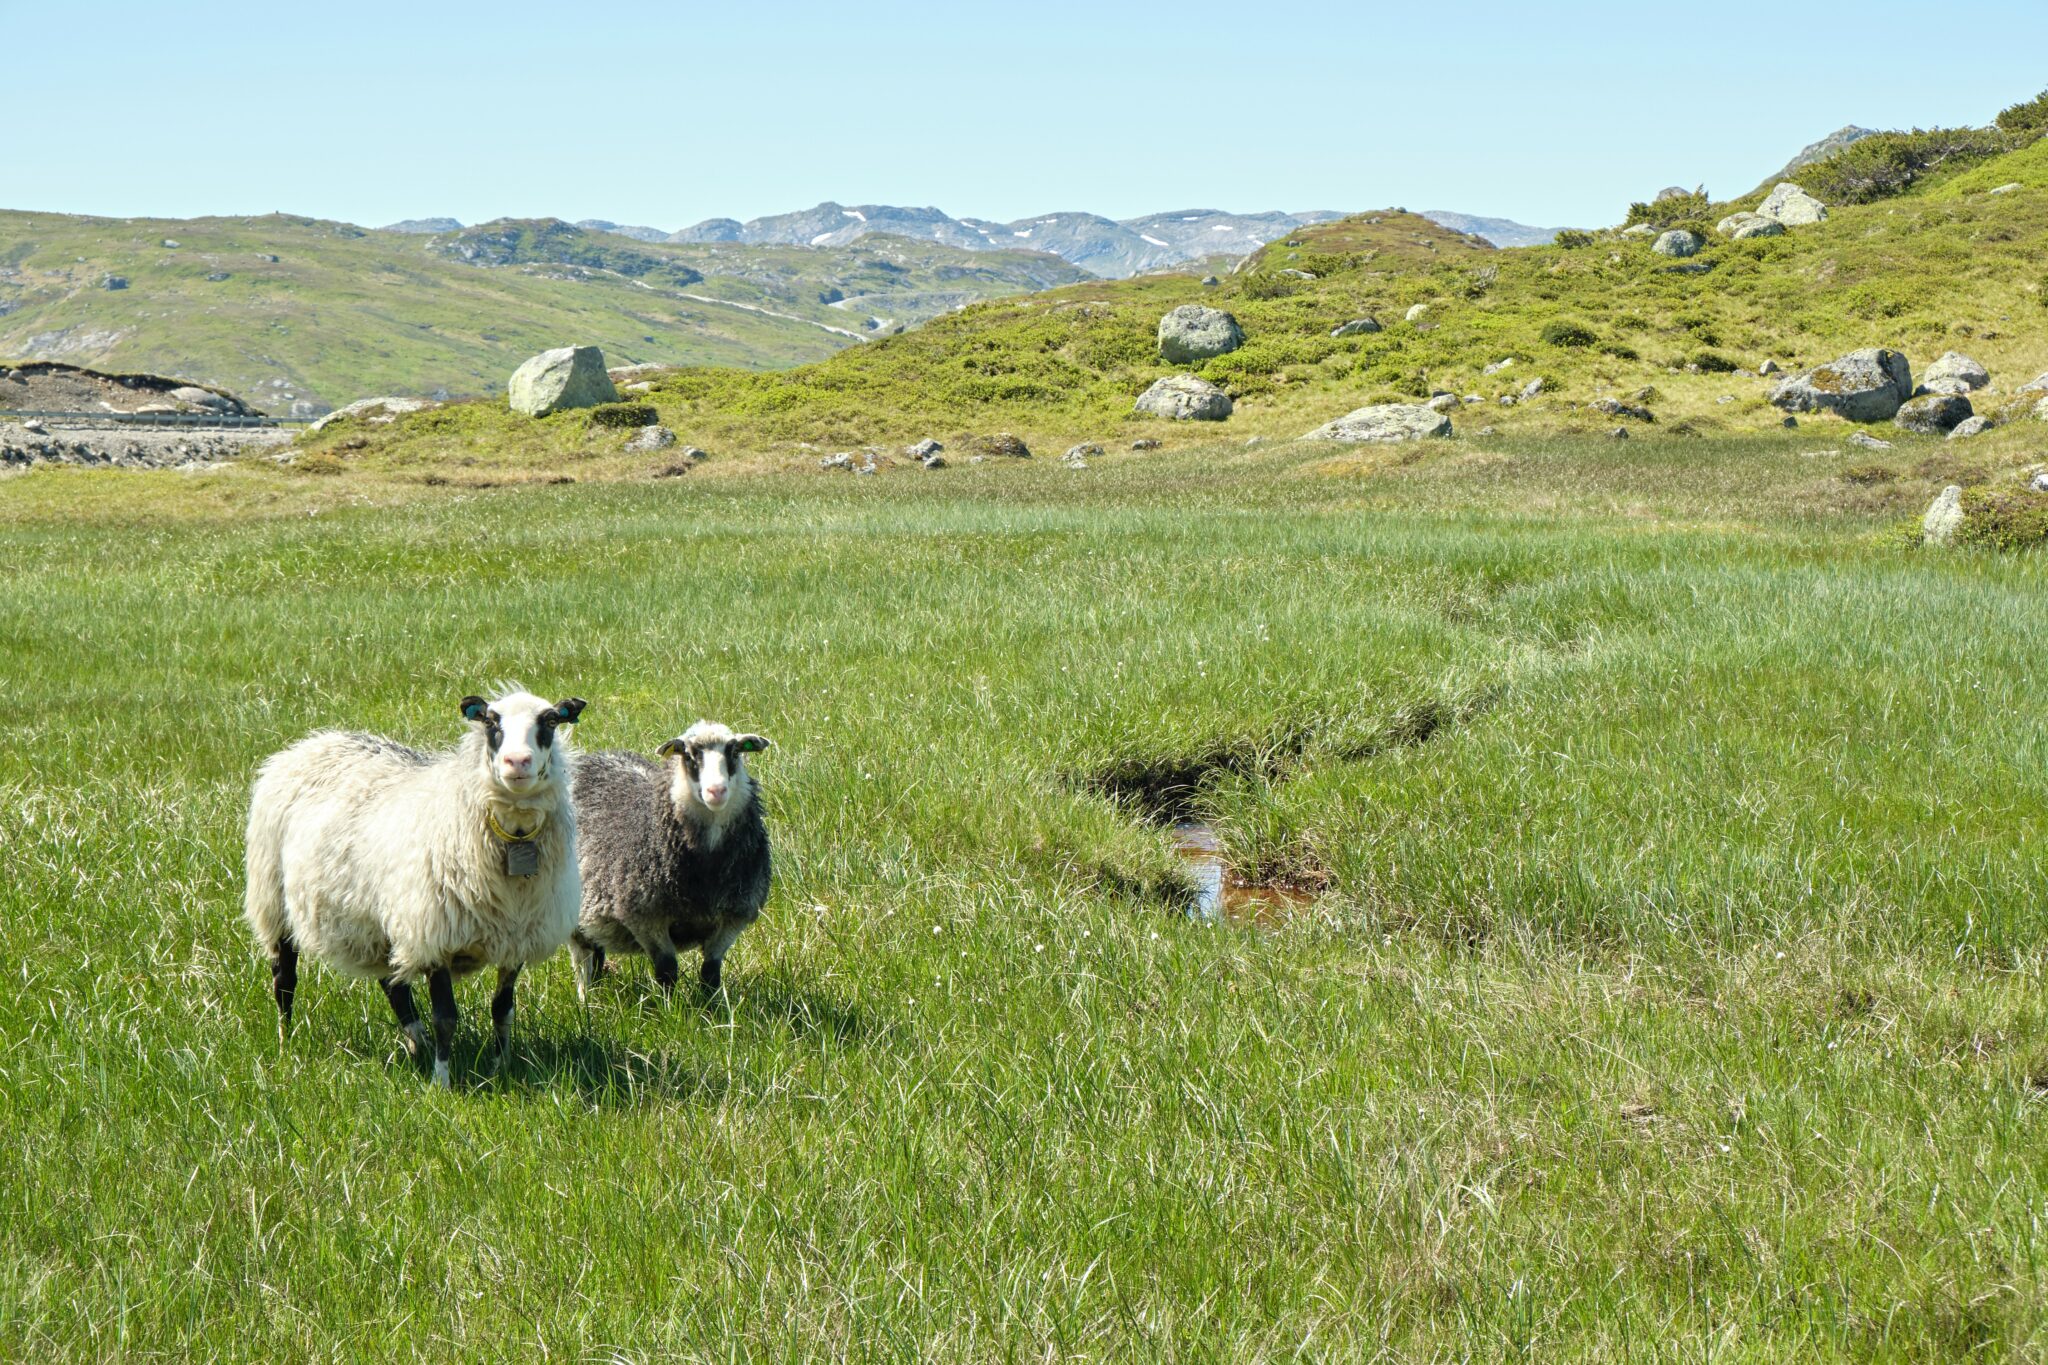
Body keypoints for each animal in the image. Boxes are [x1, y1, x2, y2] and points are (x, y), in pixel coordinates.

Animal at [242, 688, 587, 1086]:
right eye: (490, 722)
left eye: (551, 720)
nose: (517, 762)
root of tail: (312, 742)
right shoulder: (434, 934)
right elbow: (446, 1019)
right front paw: (442, 1081)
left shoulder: (516, 940)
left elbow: (502, 1010)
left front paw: (501, 1066)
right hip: (273, 897)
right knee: (284, 978)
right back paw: (287, 1042)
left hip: (375, 922)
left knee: (393, 983)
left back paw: (415, 1042)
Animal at [570, 720, 773, 999]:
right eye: (688, 754)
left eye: (734, 751)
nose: (716, 791)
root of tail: (585, 758)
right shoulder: (644, 916)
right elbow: (667, 970)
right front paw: (670, 1006)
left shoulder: (734, 918)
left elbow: (711, 972)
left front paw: (710, 1006)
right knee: (583, 958)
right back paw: (585, 999)